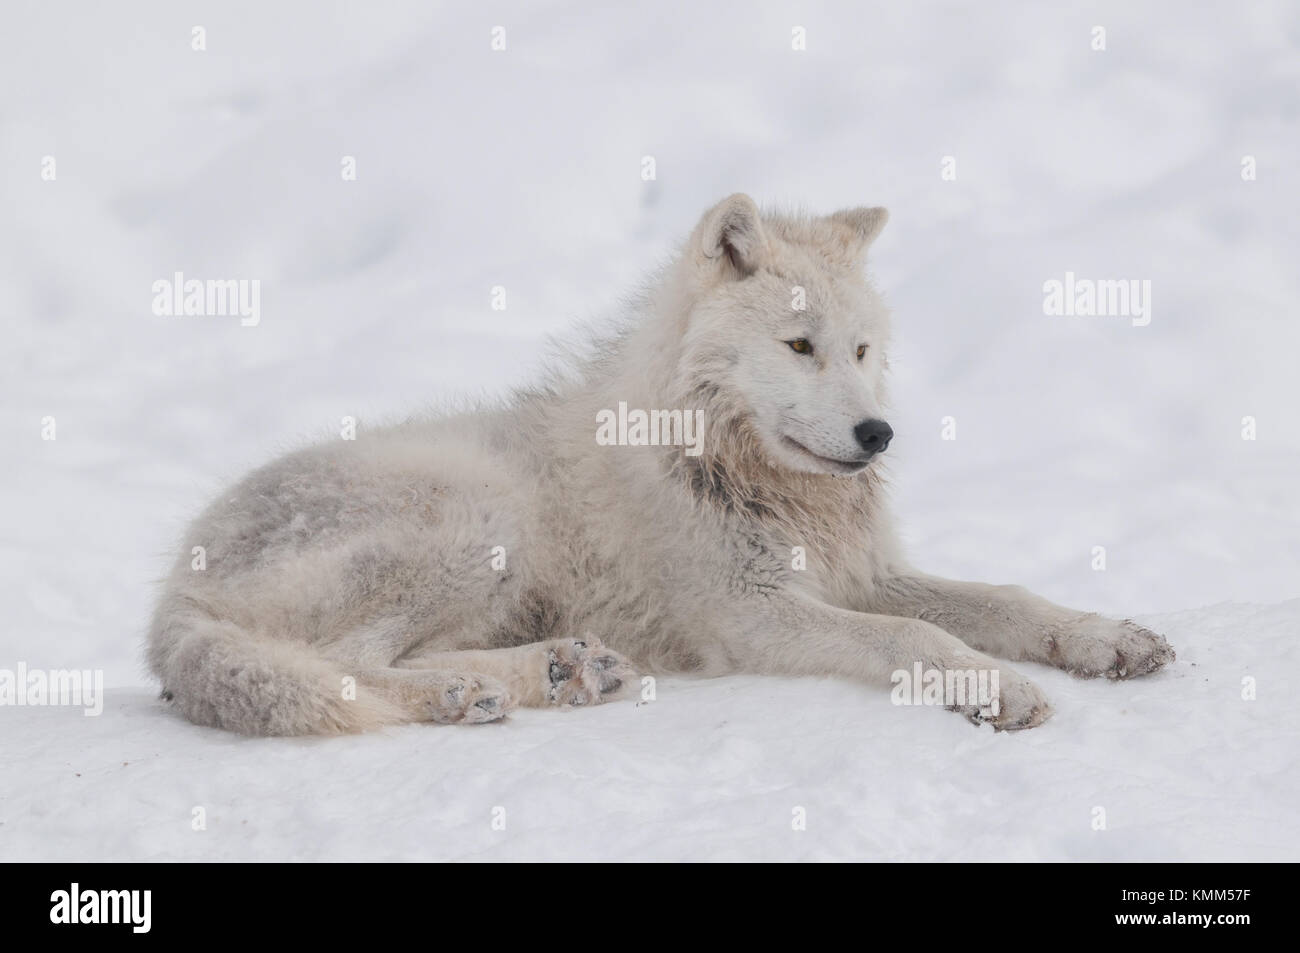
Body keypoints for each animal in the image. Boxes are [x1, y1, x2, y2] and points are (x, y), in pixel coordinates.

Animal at [147, 194, 1174, 736]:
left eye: (863, 349)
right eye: (800, 346)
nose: (879, 433)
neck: (718, 456)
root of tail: (172, 593)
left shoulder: (860, 573)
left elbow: (1005, 600)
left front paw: (1102, 637)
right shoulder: (750, 612)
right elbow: (915, 637)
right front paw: (993, 685)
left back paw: (562, 671)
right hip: (478, 517)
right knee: (345, 664)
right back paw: (473, 690)